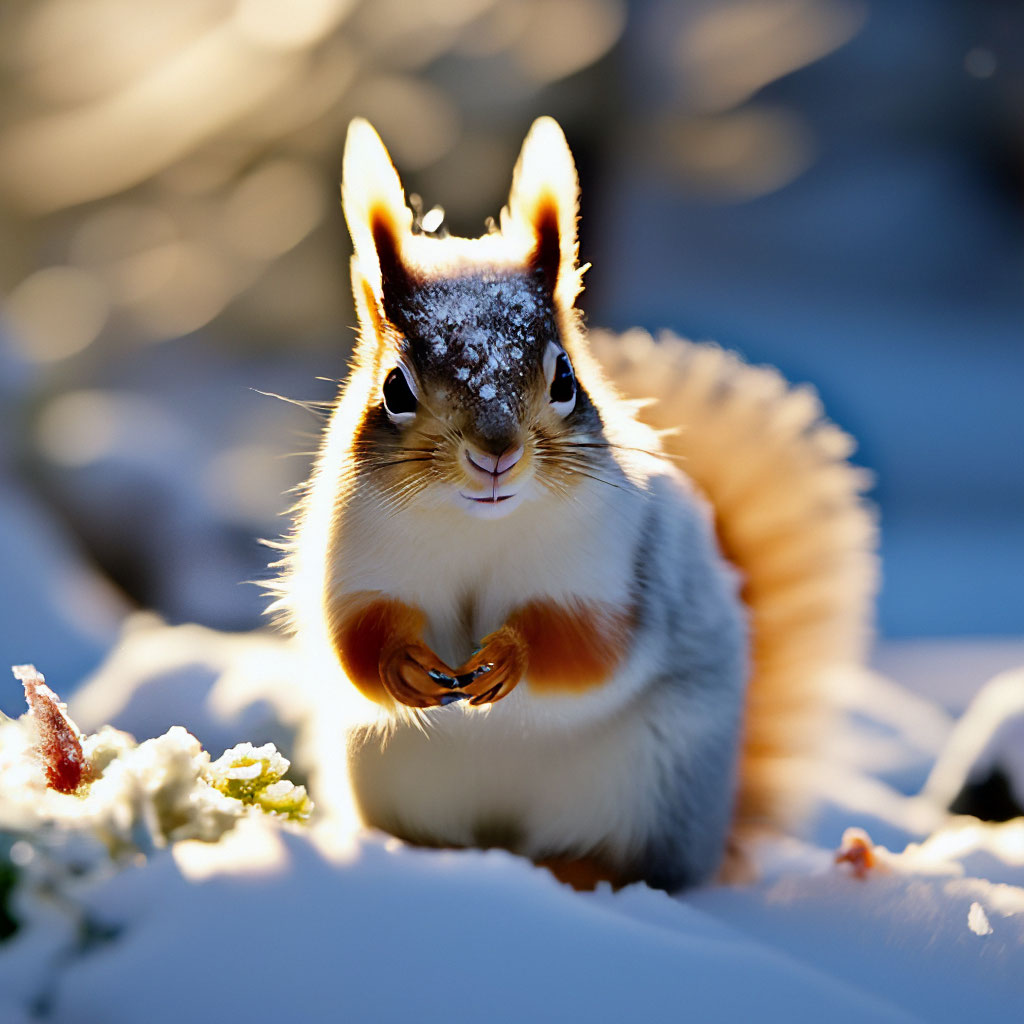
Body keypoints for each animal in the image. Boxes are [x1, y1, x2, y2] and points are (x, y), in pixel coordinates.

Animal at [273, 117, 876, 891]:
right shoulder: (356, 560)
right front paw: (400, 663)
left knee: (624, 864)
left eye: (565, 379)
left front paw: (512, 654)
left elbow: (589, 646)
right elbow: (353, 636)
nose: (495, 452)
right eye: (396, 388)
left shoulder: (614, 570)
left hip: (646, 787)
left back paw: (576, 872)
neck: (479, 527)